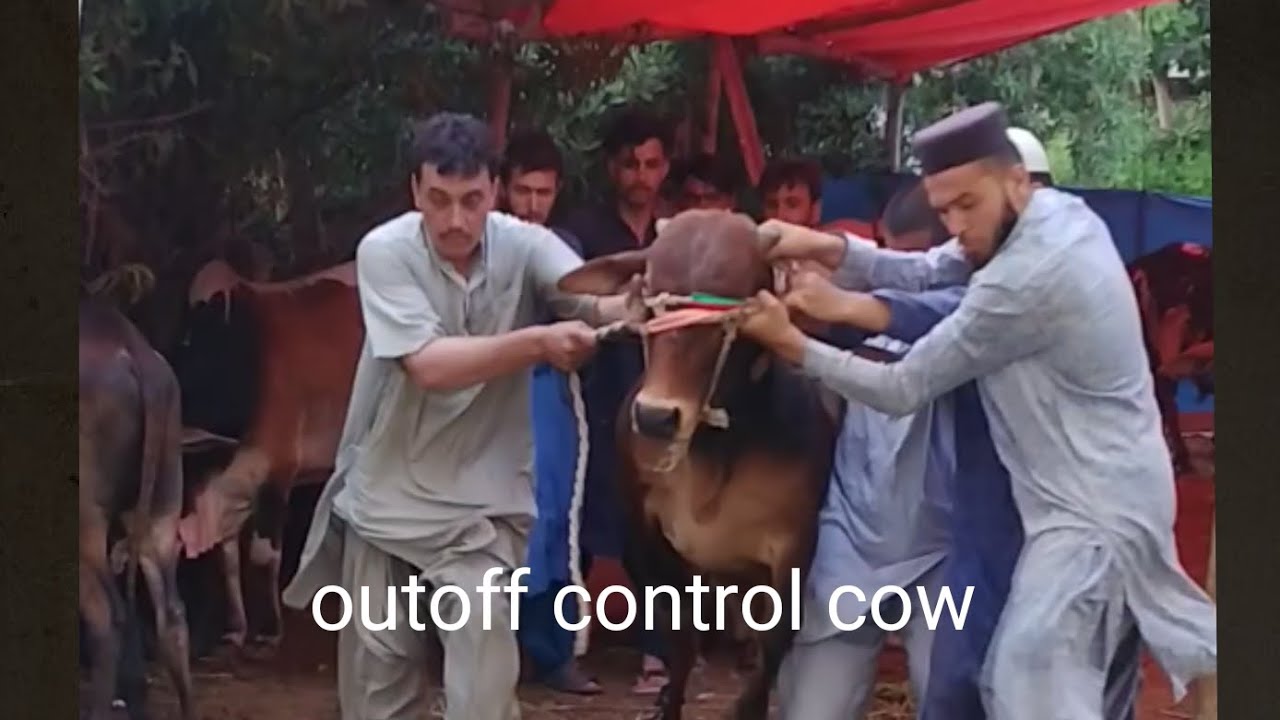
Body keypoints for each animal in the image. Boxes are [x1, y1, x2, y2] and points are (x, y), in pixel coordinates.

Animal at [557, 210, 841, 720]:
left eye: (725, 313)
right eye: (650, 298)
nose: (655, 417)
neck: (714, 456)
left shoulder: (794, 552)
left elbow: (764, 668)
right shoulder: (645, 540)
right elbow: (682, 645)